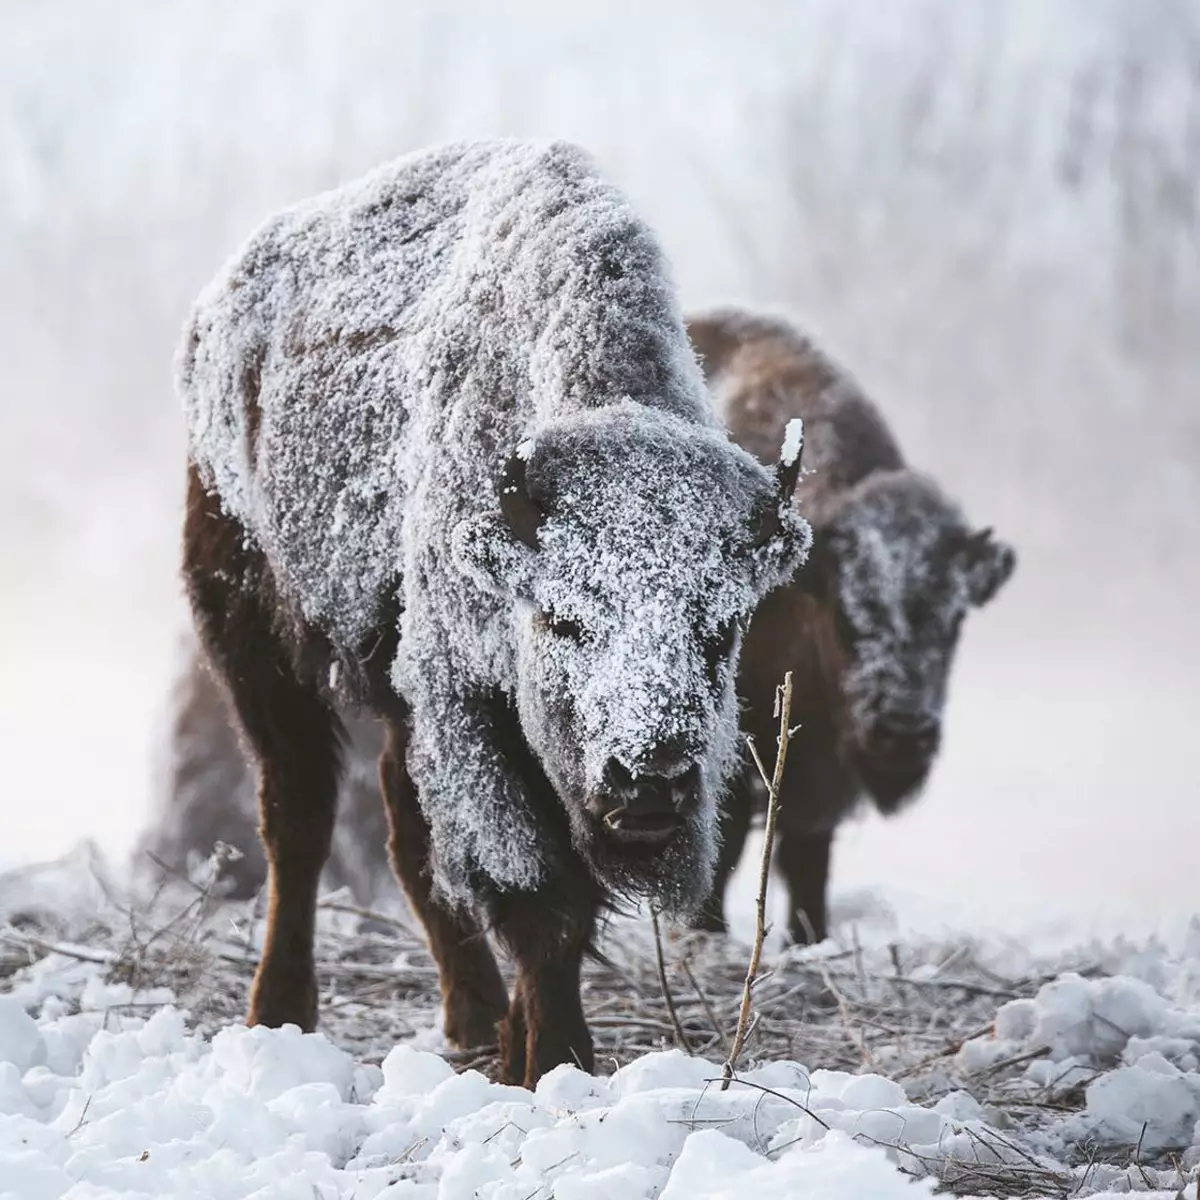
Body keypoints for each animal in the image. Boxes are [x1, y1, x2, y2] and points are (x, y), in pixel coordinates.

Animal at [180, 142, 816, 1089]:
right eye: (561, 619)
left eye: (721, 628)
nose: (650, 777)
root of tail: (217, 310)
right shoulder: (469, 709)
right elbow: (536, 897)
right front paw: (553, 1058)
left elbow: (552, 902)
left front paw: (529, 1048)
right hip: (255, 636)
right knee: (298, 817)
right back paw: (280, 1010)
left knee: (403, 828)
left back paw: (473, 1015)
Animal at [686, 309, 1012, 945]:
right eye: (846, 615)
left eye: (954, 620)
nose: (904, 730)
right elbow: (728, 847)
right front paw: (707, 933)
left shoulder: (821, 782)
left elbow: (808, 862)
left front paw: (807, 938)